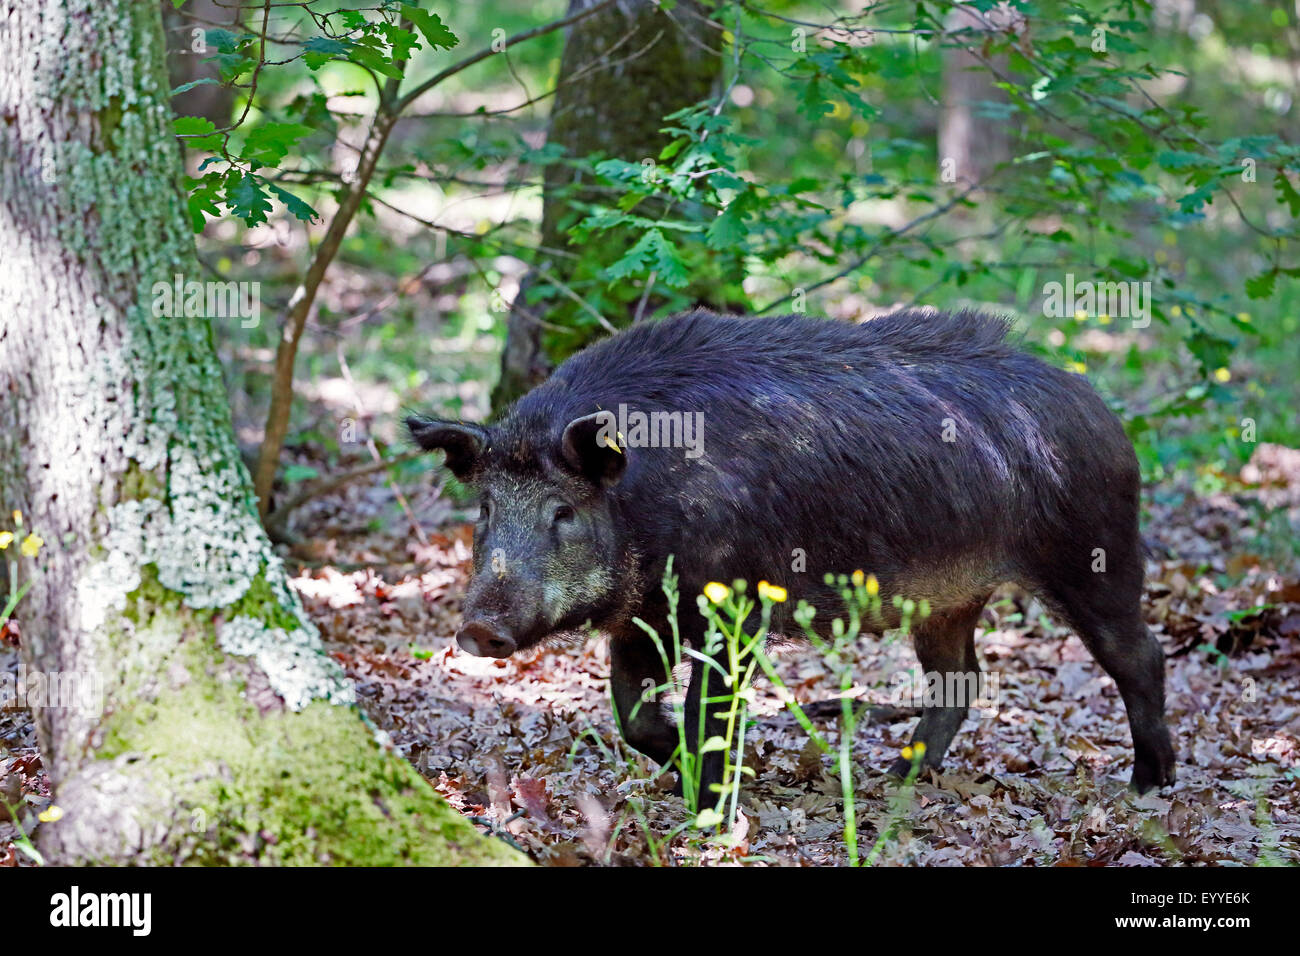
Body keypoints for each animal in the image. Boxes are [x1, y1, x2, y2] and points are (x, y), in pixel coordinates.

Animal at [408, 306, 1180, 790]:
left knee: (1141, 655)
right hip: (948, 600)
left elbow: (709, 707)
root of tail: (1102, 410)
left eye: (563, 512)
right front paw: (684, 769)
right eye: (485, 507)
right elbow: (629, 711)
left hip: (1092, 552)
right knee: (963, 680)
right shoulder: (643, 618)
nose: (479, 629)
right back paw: (899, 776)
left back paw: (1148, 785)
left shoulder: (735, 608)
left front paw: (713, 798)